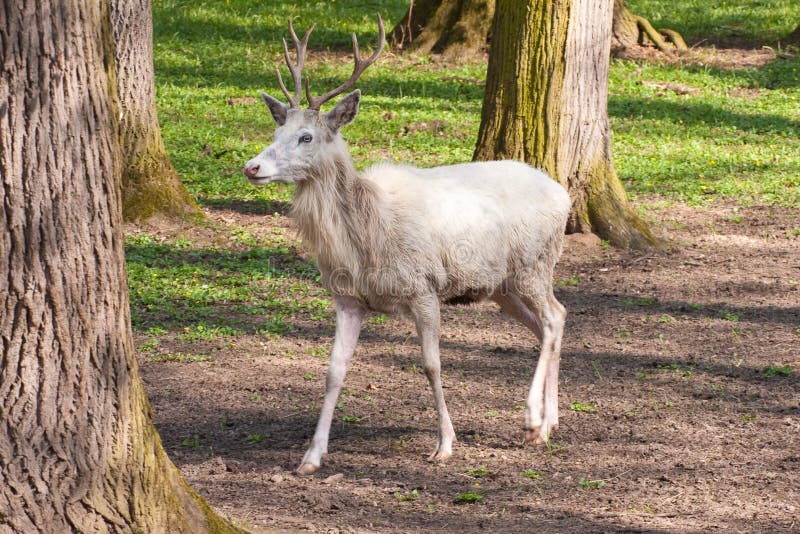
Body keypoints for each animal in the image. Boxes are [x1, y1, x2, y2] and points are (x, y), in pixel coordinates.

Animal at [244, 15, 571, 476]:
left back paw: (533, 422)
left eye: (306, 136)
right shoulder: (347, 297)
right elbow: (334, 370)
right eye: (277, 129)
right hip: (501, 286)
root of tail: (564, 195)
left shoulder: (424, 286)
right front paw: (311, 457)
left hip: (534, 263)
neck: (365, 241)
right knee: (546, 324)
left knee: (556, 317)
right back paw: (550, 420)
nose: (252, 166)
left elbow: (432, 364)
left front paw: (446, 444)